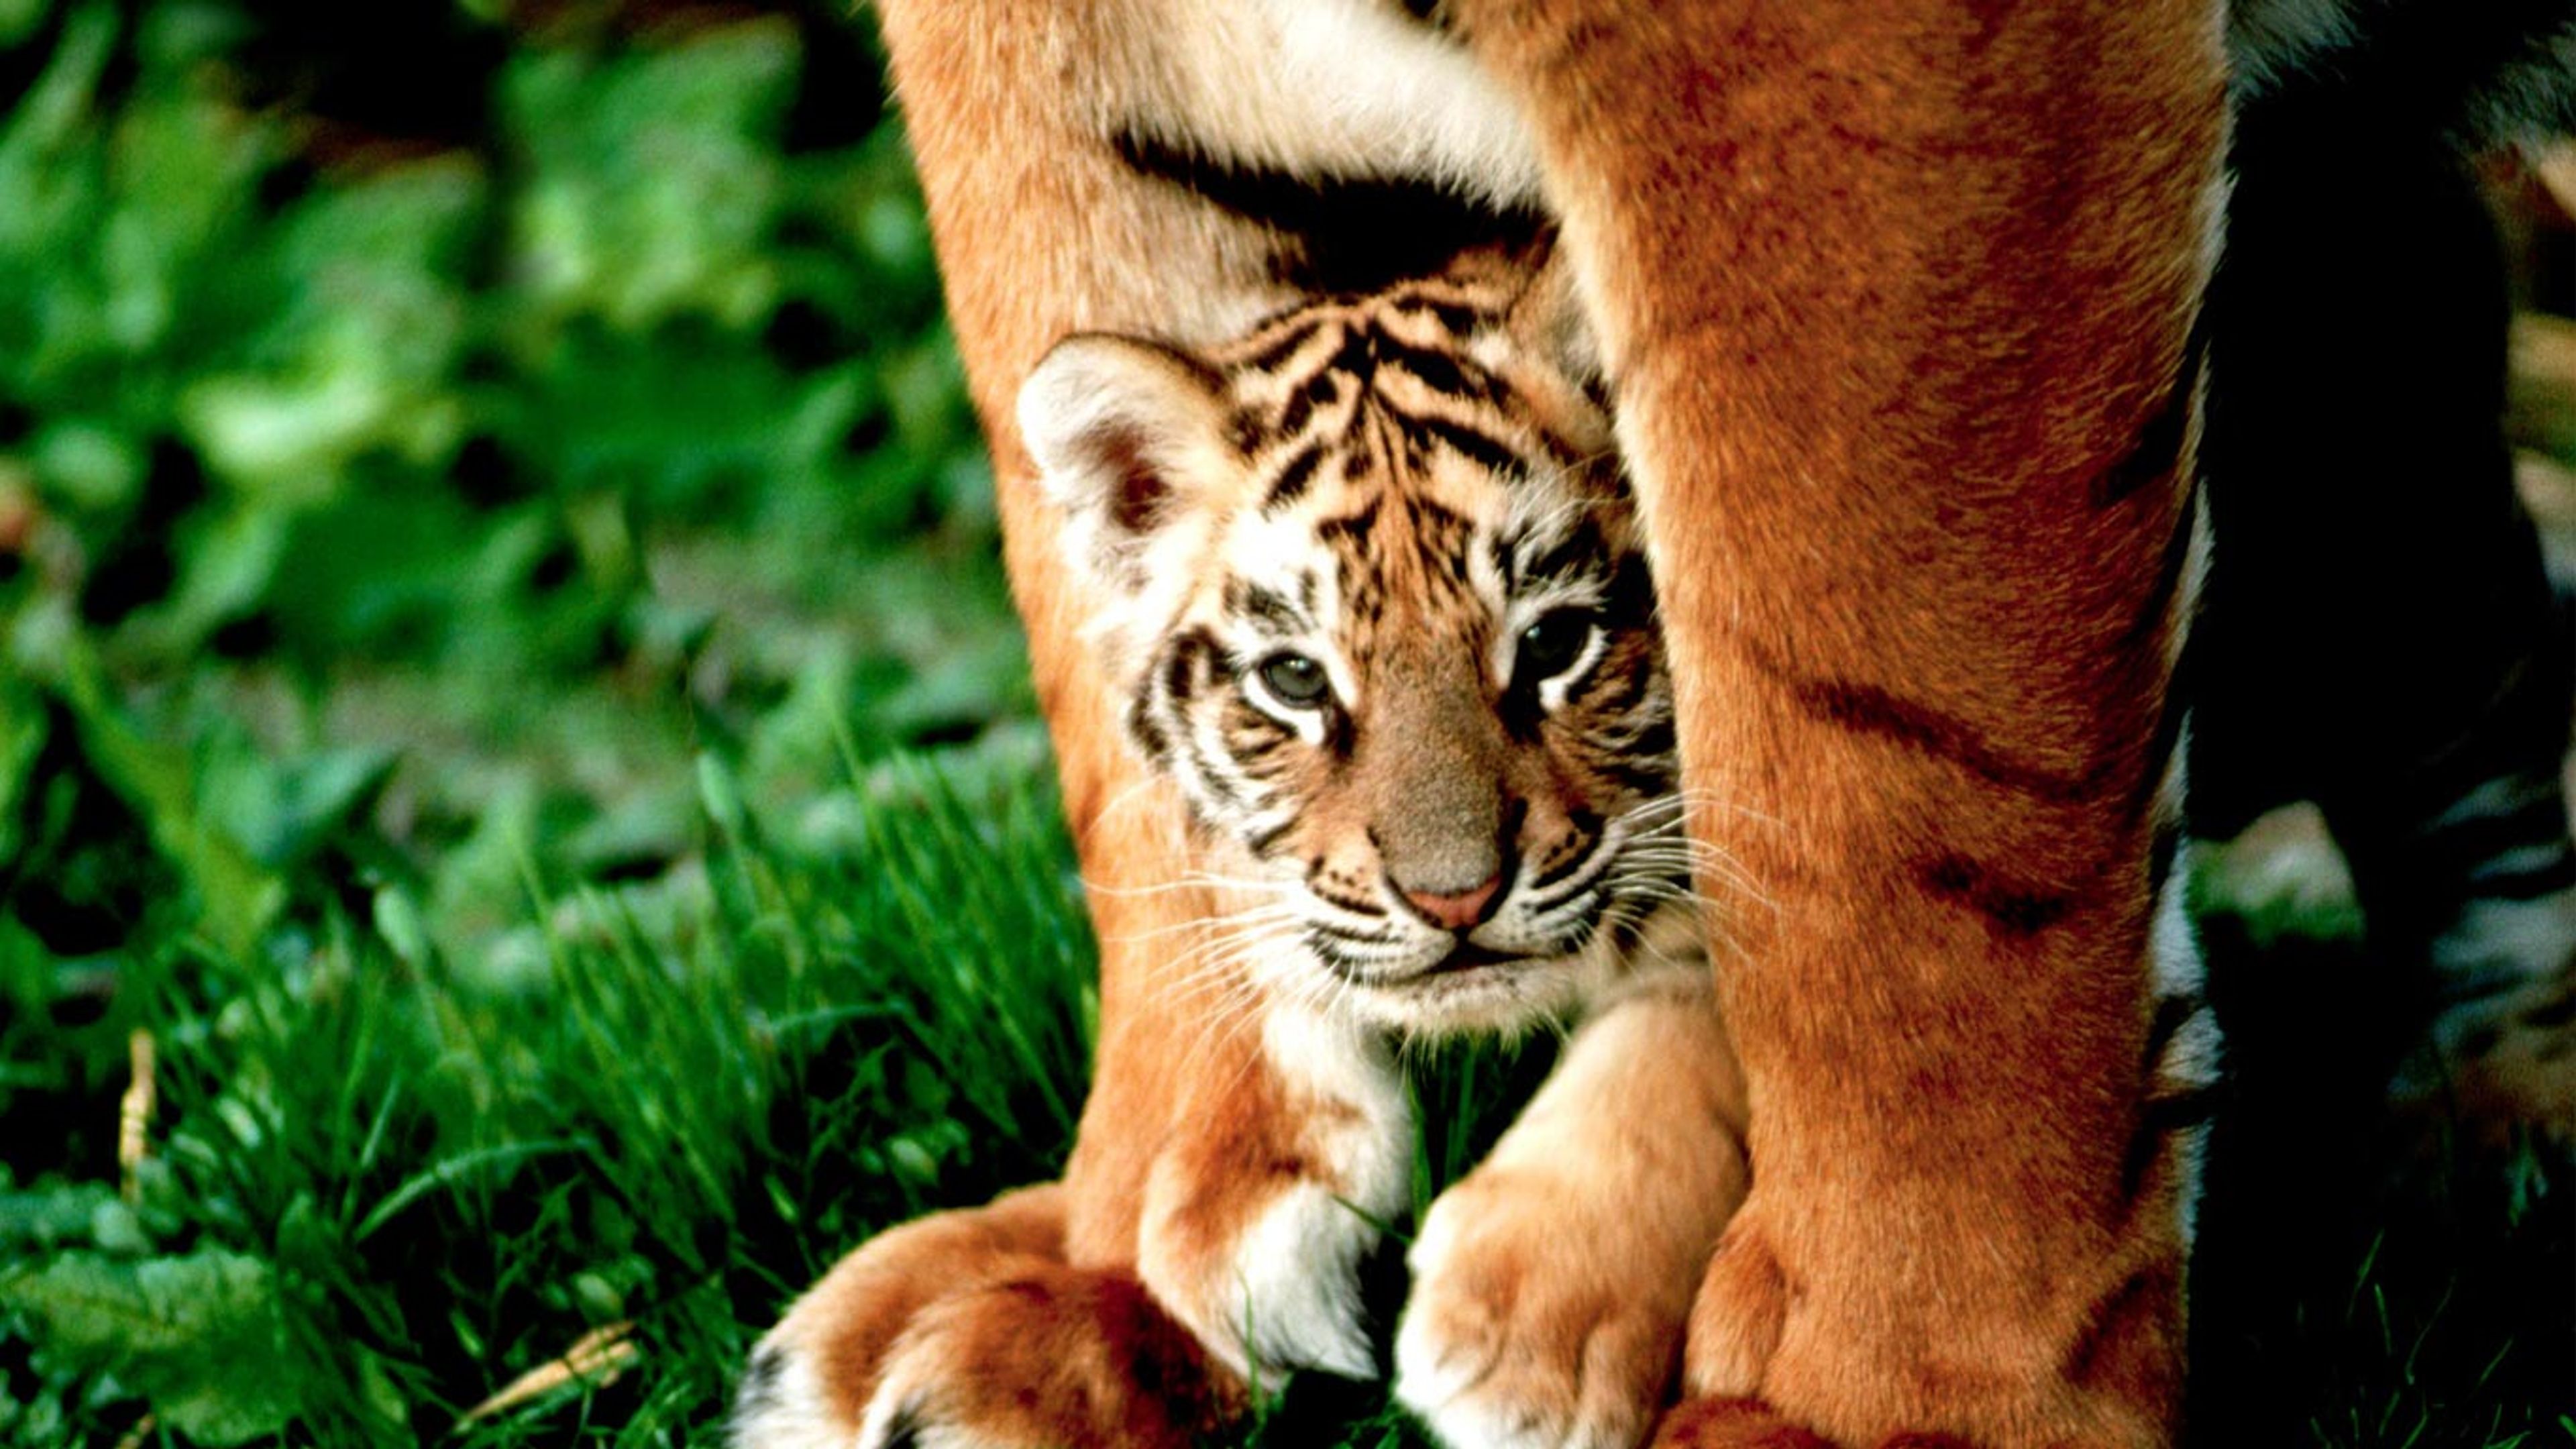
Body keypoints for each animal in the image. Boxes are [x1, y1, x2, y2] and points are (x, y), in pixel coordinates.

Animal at [734, 2, 2576, 1447]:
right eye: (1295, 685)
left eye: (1554, 649)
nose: (1450, 897)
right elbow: (1086, 631)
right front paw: (1122, 1264)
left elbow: (1880, 833)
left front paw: (1837, 1398)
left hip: (2368, 526)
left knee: (2480, 710)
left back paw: (2493, 1143)